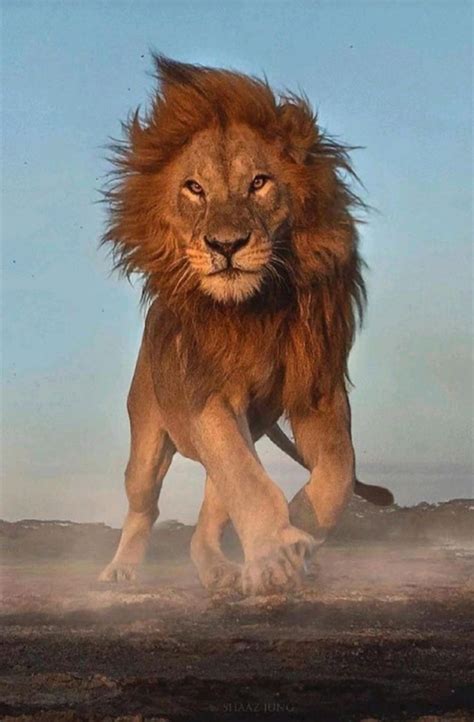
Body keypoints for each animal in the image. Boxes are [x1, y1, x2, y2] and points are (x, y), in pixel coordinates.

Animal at [99, 55, 393, 595]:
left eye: (259, 182)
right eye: (194, 188)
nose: (226, 245)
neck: (259, 309)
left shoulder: (319, 392)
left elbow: (337, 475)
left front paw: (299, 534)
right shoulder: (208, 393)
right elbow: (247, 481)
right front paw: (277, 553)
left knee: (210, 515)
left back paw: (219, 571)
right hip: (146, 440)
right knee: (144, 505)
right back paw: (122, 568)